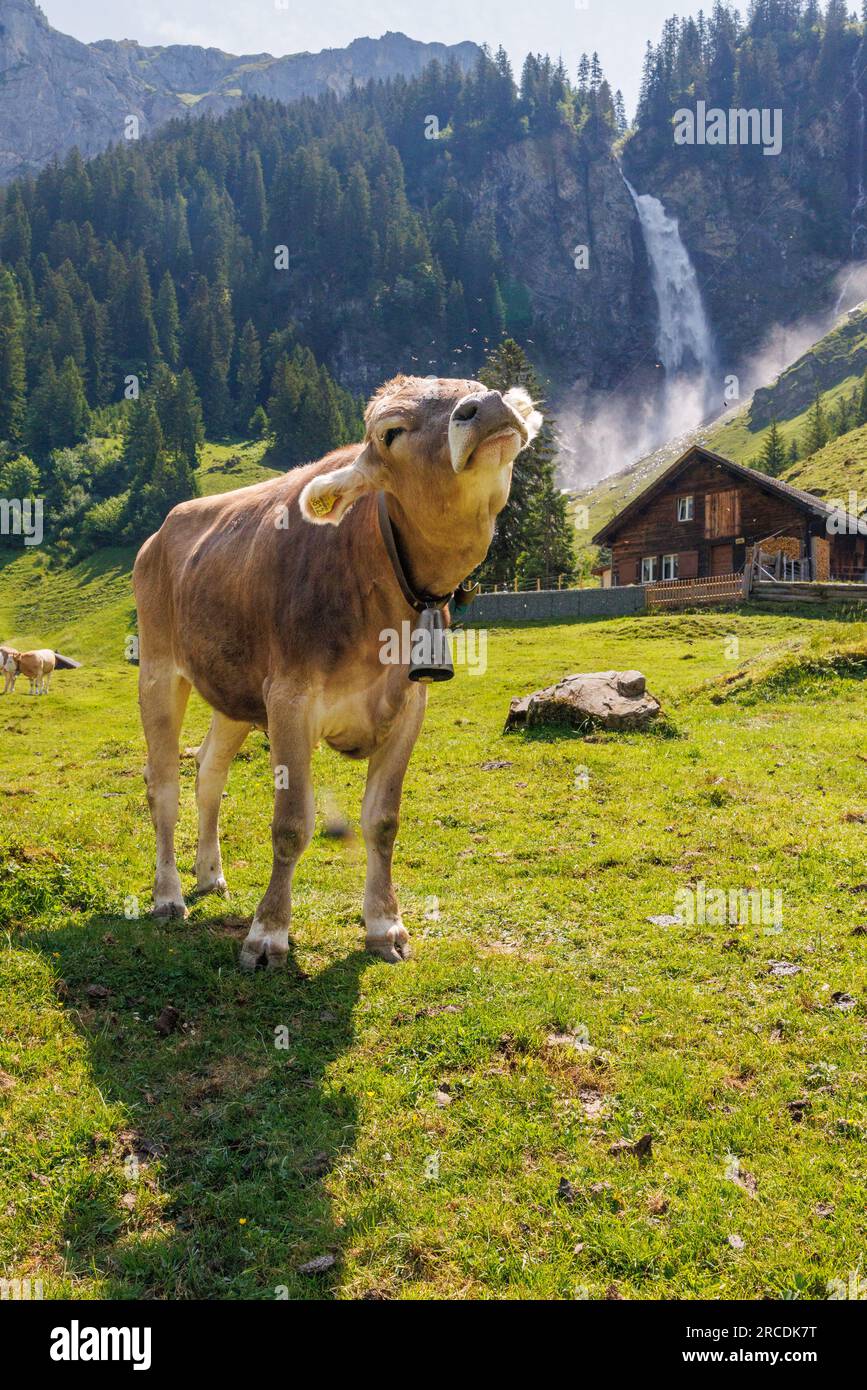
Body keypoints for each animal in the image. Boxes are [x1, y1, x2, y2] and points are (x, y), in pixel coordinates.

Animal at [132, 374, 541, 968]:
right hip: (160, 672)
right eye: (391, 432)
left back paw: (210, 875)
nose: (486, 407)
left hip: (234, 686)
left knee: (209, 771)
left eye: (485, 389)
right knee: (163, 783)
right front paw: (268, 934)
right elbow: (291, 823)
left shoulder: (410, 705)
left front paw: (385, 925)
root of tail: (160, 532)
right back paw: (169, 897)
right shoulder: (290, 699)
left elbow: (383, 821)